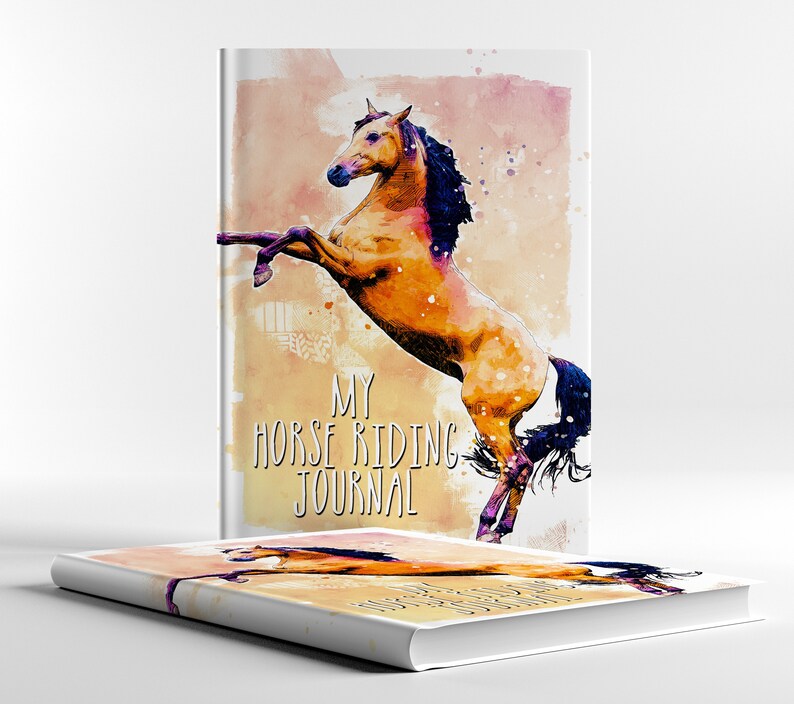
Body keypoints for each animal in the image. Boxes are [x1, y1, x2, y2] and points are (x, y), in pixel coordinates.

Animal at [218, 100, 591, 543]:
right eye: (355, 132)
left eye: (374, 136)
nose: (335, 173)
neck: (394, 222)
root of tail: (546, 358)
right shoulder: (327, 256)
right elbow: (270, 234)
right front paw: (227, 240)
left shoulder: (349, 268)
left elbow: (298, 229)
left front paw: (261, 272)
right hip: (507, 420)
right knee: (523, 464)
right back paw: (500, 532)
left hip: (485, 413)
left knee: (516, 464)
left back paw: (486, 528)